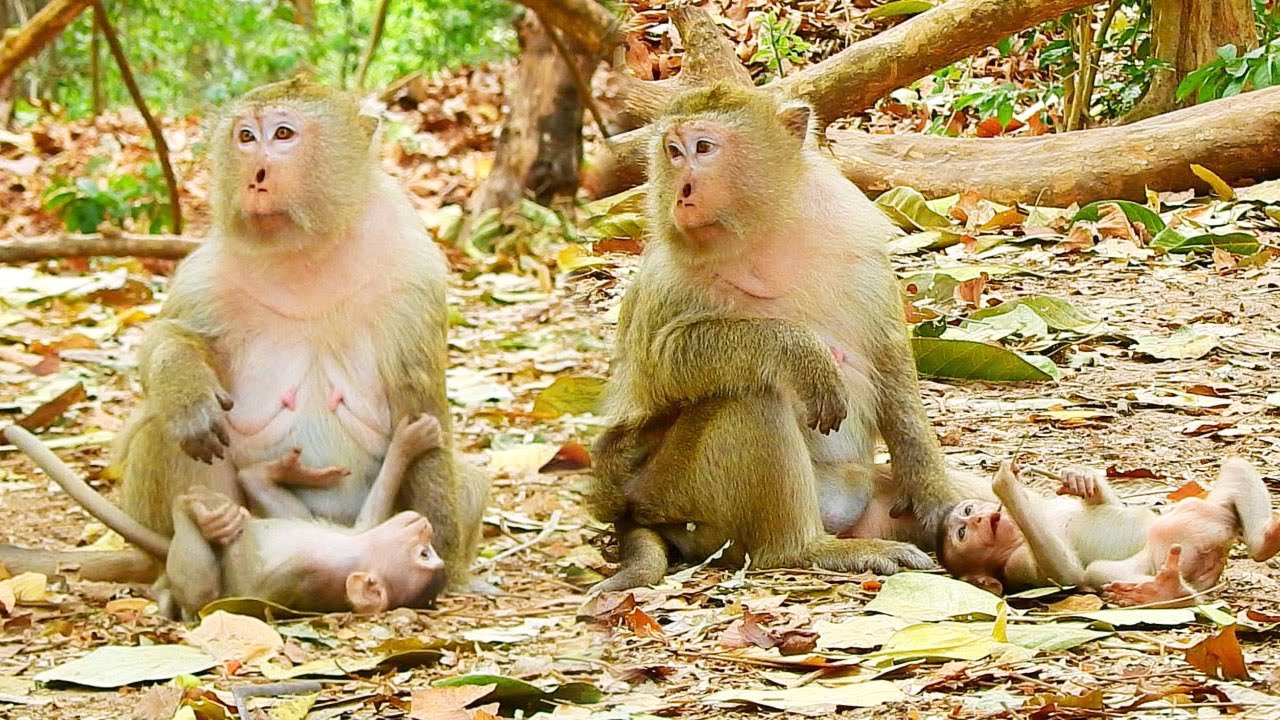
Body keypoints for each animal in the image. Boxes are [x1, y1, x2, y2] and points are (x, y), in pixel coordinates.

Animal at [0, 78, 489, 593]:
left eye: (283, 133)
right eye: (247, 138)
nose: (256, 174)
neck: (305, 253)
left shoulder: (414, 274)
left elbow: (419, 401)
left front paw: (445, 568)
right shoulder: (207, 275)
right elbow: (171, 337)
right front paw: (184, 387)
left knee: (468, 480)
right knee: (165, 430)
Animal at [4, 418, 447, 618]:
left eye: (426, 555)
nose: (423, 524)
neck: (348, 557)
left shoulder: (307, 574)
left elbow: (213, 597)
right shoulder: (350, 538)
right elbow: (363, 524)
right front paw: (408, 443)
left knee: (193, 583)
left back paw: (192, 514)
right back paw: (273, 473)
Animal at [586, 83, 963, 593]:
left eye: (703, 148)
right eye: (673, 152)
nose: (682, 192)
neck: (765, 236)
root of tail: (632, 513)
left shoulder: (858, 243)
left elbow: (891, 366)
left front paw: (938, 499)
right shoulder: (668, 277)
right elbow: (662, 365)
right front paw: (799, 352)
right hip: (679, 497)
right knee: (753, 396)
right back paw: (806, 549)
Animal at [938, 459, 1280, 606]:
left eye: (967, 512)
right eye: (961, 534)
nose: (980, 518)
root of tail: (1214, 556)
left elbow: (1100, 503)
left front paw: (1081, 480)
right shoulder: (1016, 564)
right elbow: (1069, 575)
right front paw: (1005, 485)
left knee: (1235, 468)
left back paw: (1268, 536)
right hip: (1168, 549)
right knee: (1099, 572)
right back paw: (1169, 591)